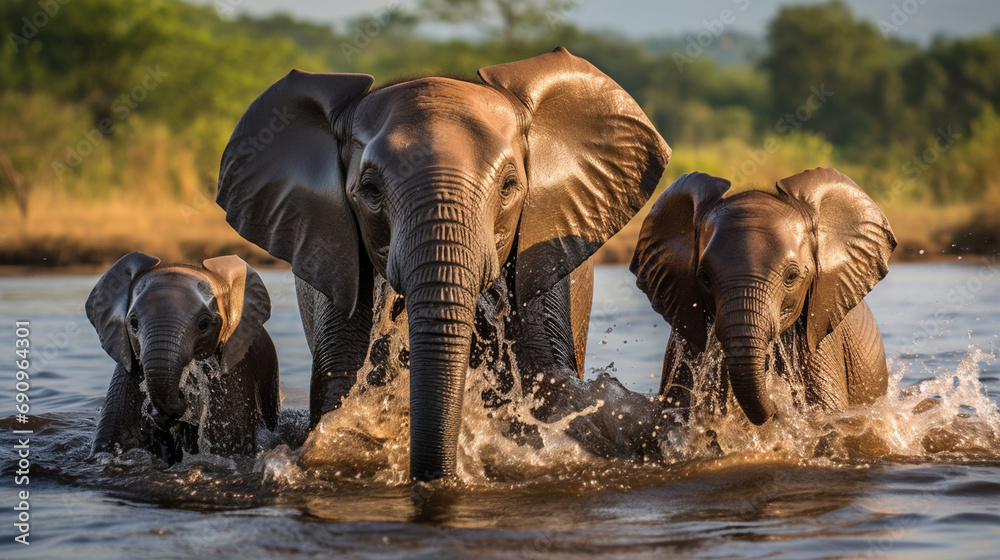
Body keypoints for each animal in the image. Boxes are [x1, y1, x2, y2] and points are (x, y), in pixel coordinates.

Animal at [86, 252, 279, 463]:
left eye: (204, 324)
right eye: (134, 322)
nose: (181, 394)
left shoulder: (235, 370)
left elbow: (227, 440)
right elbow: (122, 438)